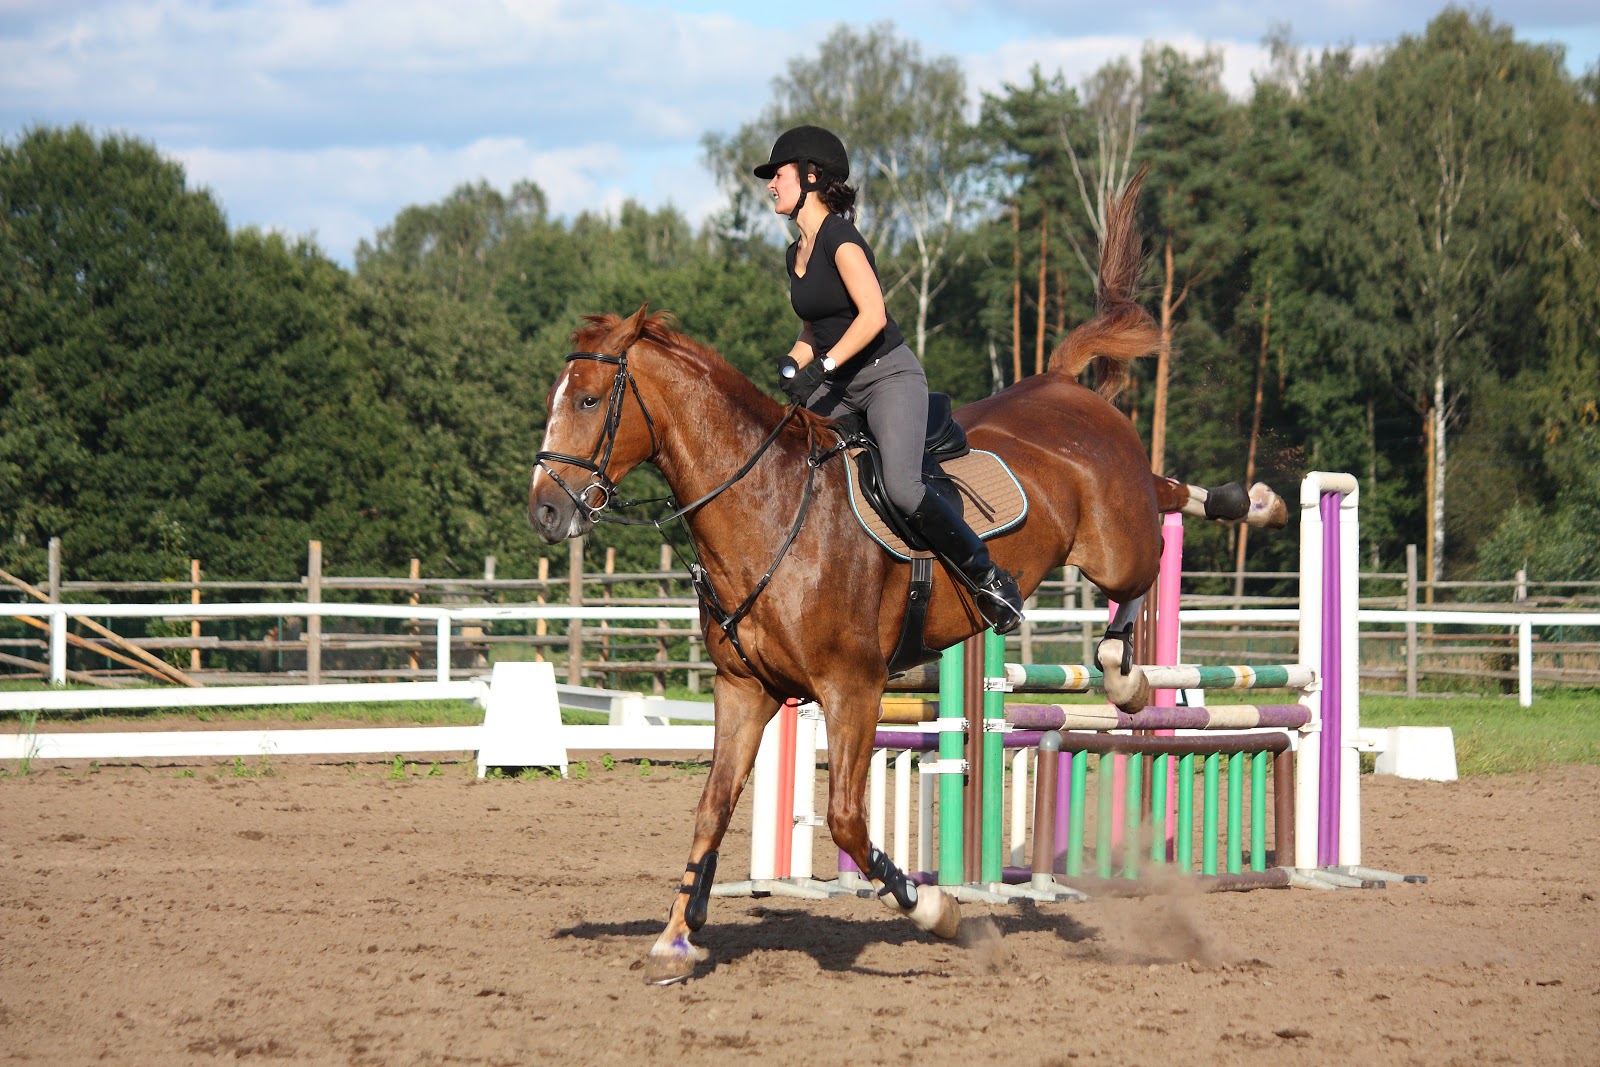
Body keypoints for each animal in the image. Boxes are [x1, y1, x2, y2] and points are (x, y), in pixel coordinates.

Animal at [527, 173, 1286, 984]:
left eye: (588, 400)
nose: (544, 511)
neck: (764, 503)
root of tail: (1060, 384)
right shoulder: (744, 690)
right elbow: (712, 808)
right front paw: (676, 935)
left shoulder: (852, 688)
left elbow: (847, 819)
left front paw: (939, 911)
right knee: (1166, 502)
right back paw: (1245, 513)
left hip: (1116, 542)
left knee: (1148, 552)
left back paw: (1149, 645)